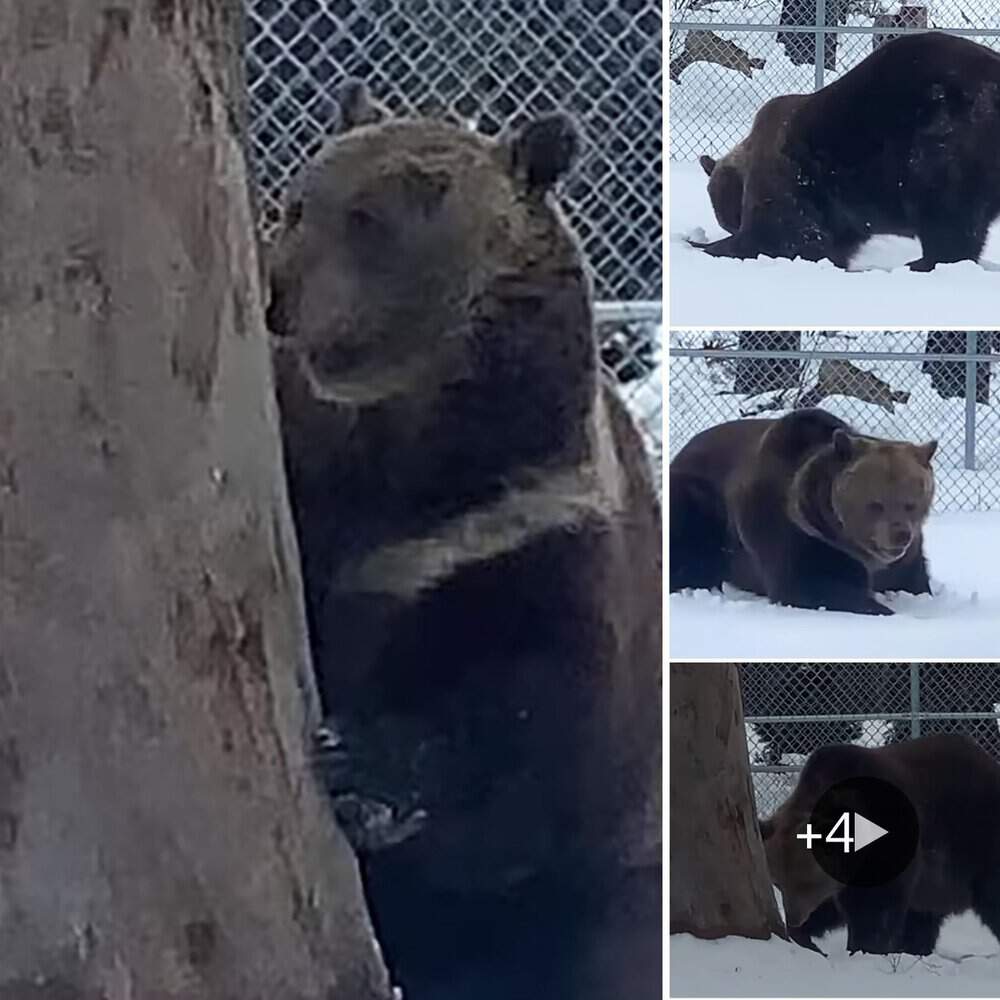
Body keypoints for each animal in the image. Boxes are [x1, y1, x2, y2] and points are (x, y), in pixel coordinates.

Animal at [266, 81, 662, 1000]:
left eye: (377, 215)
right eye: (301, 202)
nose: (280, 295)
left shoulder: (521, 529)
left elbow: (529, 705)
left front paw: (363, 764)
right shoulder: (320, 503)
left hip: (604, 894)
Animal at [669, 408, 936, 615]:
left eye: (911, 503)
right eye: (875, 504)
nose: (900, 534)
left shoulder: (907, 559)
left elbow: (914, 582)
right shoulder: (797, 535)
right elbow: (809, 584)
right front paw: (879, 608)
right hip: (697, 501)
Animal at [691, 32, 1000, 270]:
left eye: (730, 216)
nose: (730, 223)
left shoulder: (788, 178)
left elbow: (780, 235)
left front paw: (707, 245)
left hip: (941, 135)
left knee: (945, 211)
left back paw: (923, 262)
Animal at [759, 734, 1000, 956]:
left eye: (806, 883)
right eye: (778, 882)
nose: (794, 918)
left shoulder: (886, 846)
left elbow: (874, 910)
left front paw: (865, 947)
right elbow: (832, 908)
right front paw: (805, 939)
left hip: (974, 837)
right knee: (923, 916)